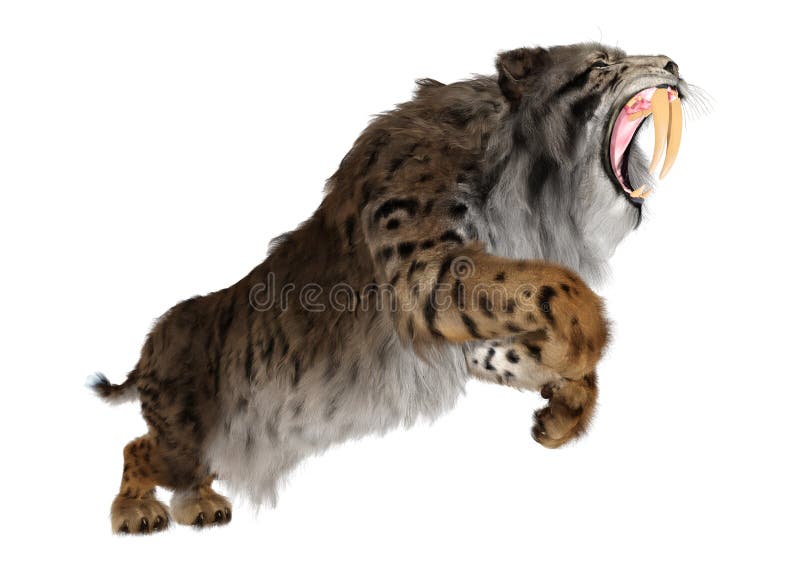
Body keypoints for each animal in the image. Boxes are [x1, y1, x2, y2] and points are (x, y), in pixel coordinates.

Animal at [89, 42, 688, 534]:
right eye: (602, 64)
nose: (674, 65)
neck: (519, 174)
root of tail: (148, 348)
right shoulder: (428, 276)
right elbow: (560, 284)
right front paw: (581, 347)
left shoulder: (459, 319)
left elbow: (517, 342)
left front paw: (563, 406)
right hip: (186, 436)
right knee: (136, 447)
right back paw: (135, 511)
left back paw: (197, 505)